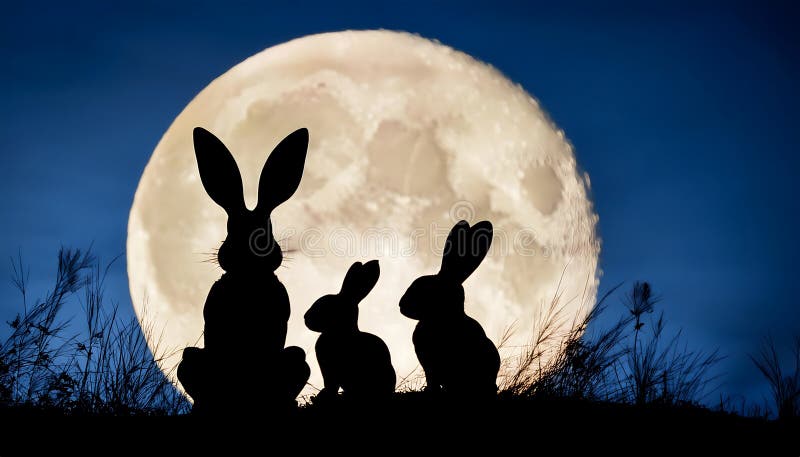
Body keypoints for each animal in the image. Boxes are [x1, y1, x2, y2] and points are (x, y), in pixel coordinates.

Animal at [177, 127, 311, 413]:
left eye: (267, 229)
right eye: (230, 228)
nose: (248, 251)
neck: (248, 279)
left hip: (296, 359)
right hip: (191, 359)